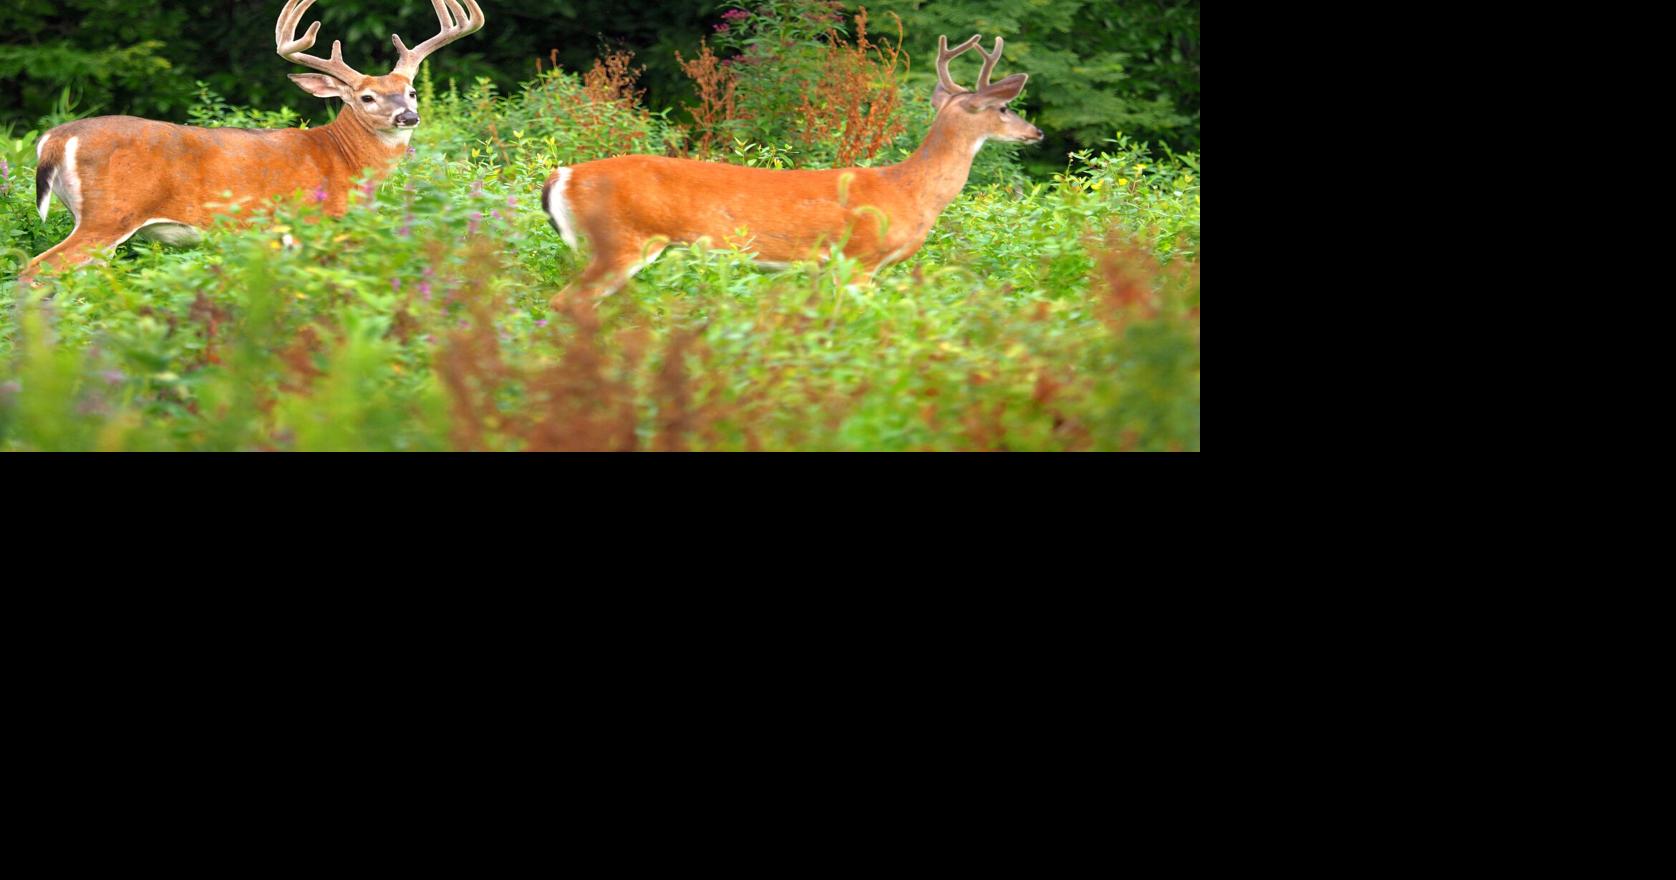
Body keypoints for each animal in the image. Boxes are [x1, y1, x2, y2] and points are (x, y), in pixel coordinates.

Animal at [19, 0, 485, 285]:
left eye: (411, 91)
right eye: (366, 97)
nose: (407, 116)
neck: (343, 158)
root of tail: (55, 139)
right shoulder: (315, 220)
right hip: (108, 215)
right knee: (34, 269)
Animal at [540, 34, 1043, 306]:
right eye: (1004, 108)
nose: (1035, 132)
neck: (908, 190)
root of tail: (562, 176)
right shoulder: (859, 259)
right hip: (622, 240)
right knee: (564, 302)